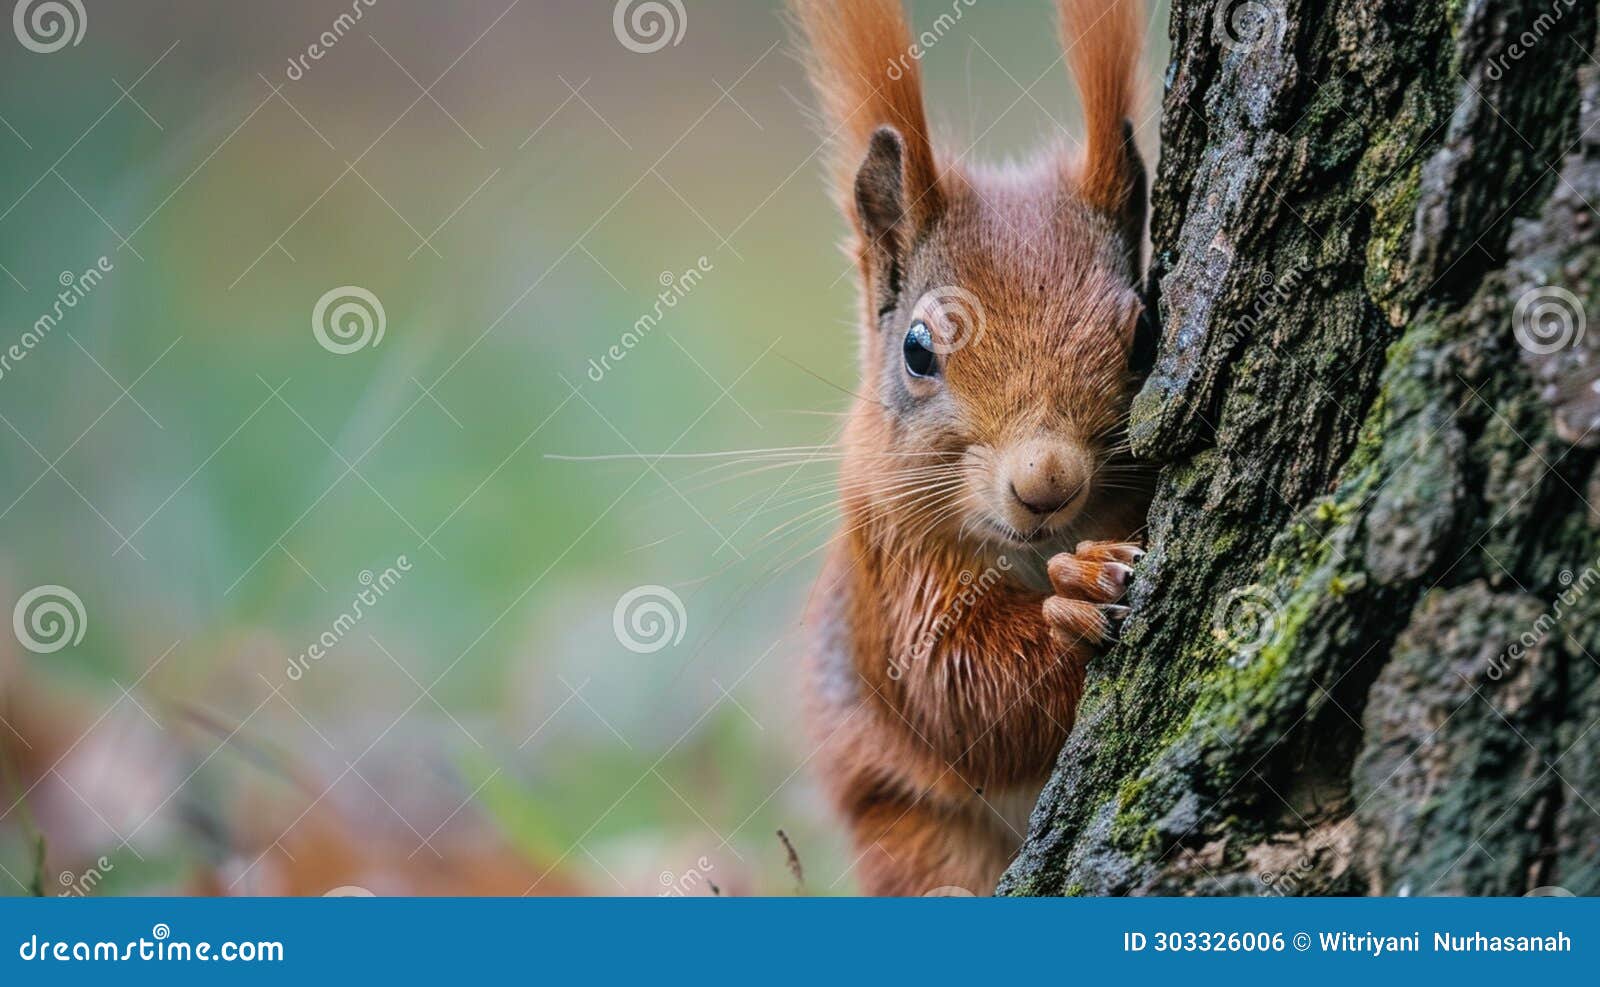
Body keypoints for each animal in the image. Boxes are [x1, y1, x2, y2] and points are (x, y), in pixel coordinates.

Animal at [790, 0, 1154, 895]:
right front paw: (1077, 602)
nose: (1045, 482)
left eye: (1144, 336)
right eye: (918, 349)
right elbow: (952, 687)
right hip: (906, 823)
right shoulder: (892, 556)